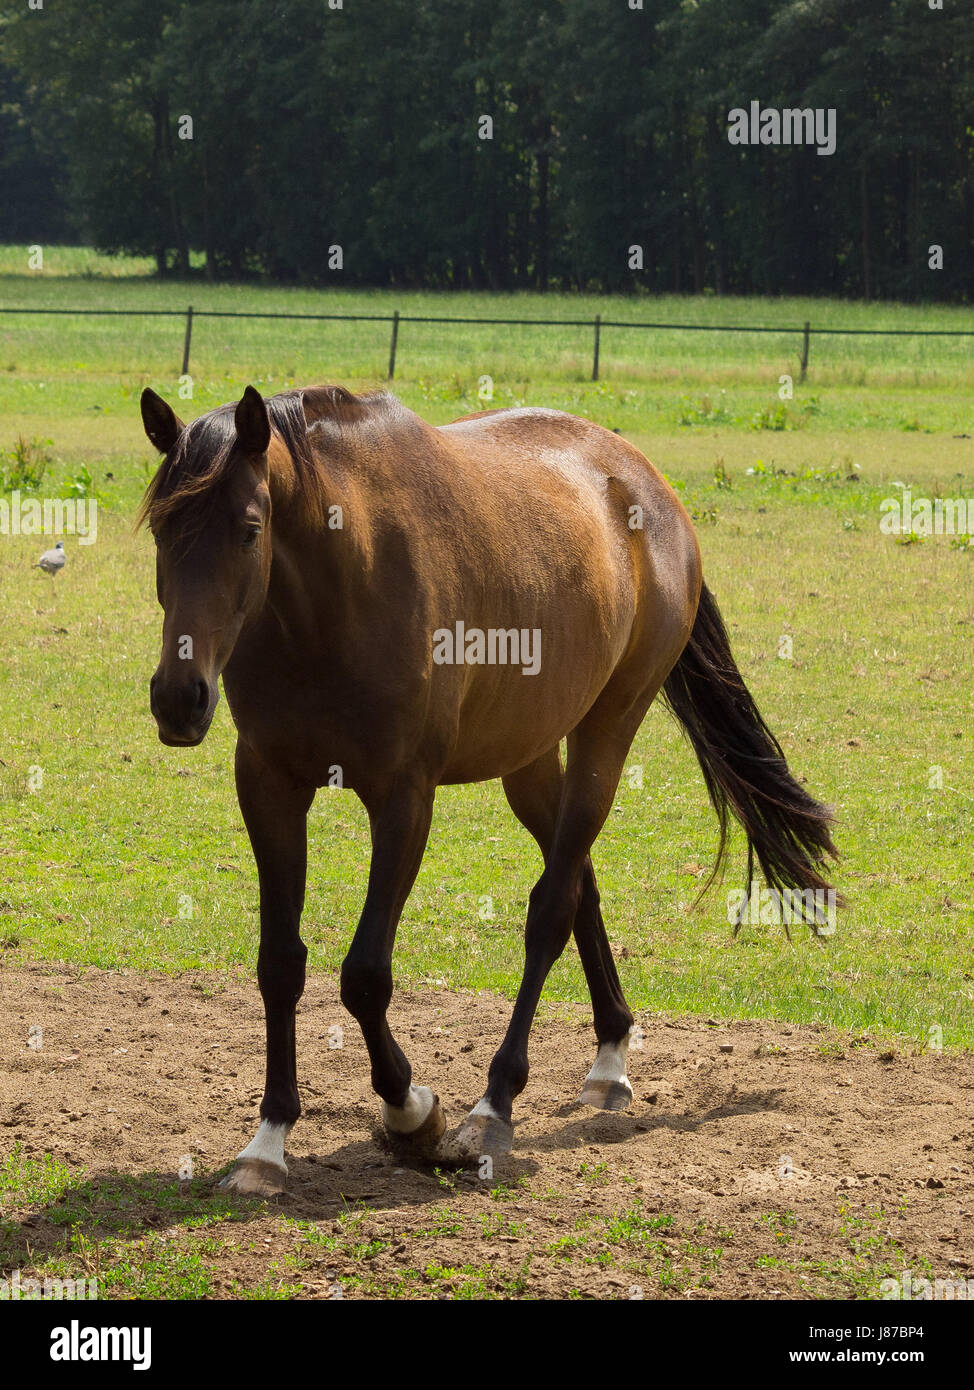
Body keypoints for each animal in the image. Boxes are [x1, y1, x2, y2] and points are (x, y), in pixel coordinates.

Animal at [138, 382, 839, 1195]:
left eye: (250, 530)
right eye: (162, 530)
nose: (178, 698)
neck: (338, 585)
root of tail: (648, 485)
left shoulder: (404, 799)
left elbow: (365, 976)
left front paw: (413, 1112)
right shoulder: (268, 786)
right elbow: (279, 964)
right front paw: (268, 1141)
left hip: (605, 735)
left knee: (552, 908)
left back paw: (494, 1105)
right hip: (529, 759)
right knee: (580, 885)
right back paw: (609, 1059)